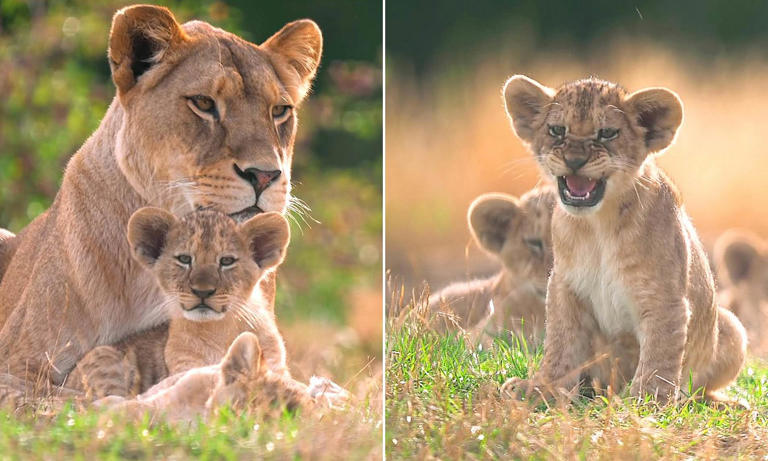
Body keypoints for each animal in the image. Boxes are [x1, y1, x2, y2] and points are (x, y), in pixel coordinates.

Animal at [66, 208, 291, 400]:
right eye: (184, 259)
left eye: (226, 261)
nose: (202, 291)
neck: (222, 328)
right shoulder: (184, 368)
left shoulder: (276, 365)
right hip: (104, 355)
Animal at [500, 75, 746, 404]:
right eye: (557, 130)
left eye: (607, 133)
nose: (574, 160)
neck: (597, 226)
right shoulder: (564, 285)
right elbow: (560, 343)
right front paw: (541, 388)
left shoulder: (665, 297)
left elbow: (659, 356)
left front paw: (648, 401)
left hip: (732, 326)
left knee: (702, 388)